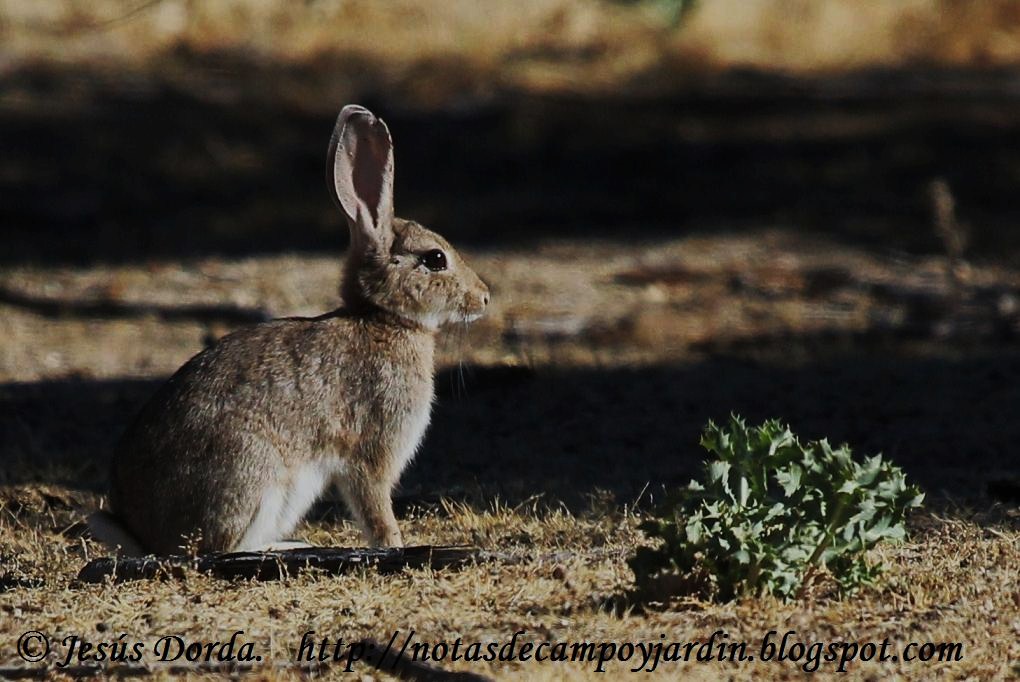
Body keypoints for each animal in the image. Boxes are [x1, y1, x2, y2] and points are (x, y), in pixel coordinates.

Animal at [88, 104, 489, 556]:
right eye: (436, 259)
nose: (484, 297)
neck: (382, 318)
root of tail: (144, 538)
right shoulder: (371, 450)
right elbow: (375, 507)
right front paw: (395, 545)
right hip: (255, 477)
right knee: (223, 546)